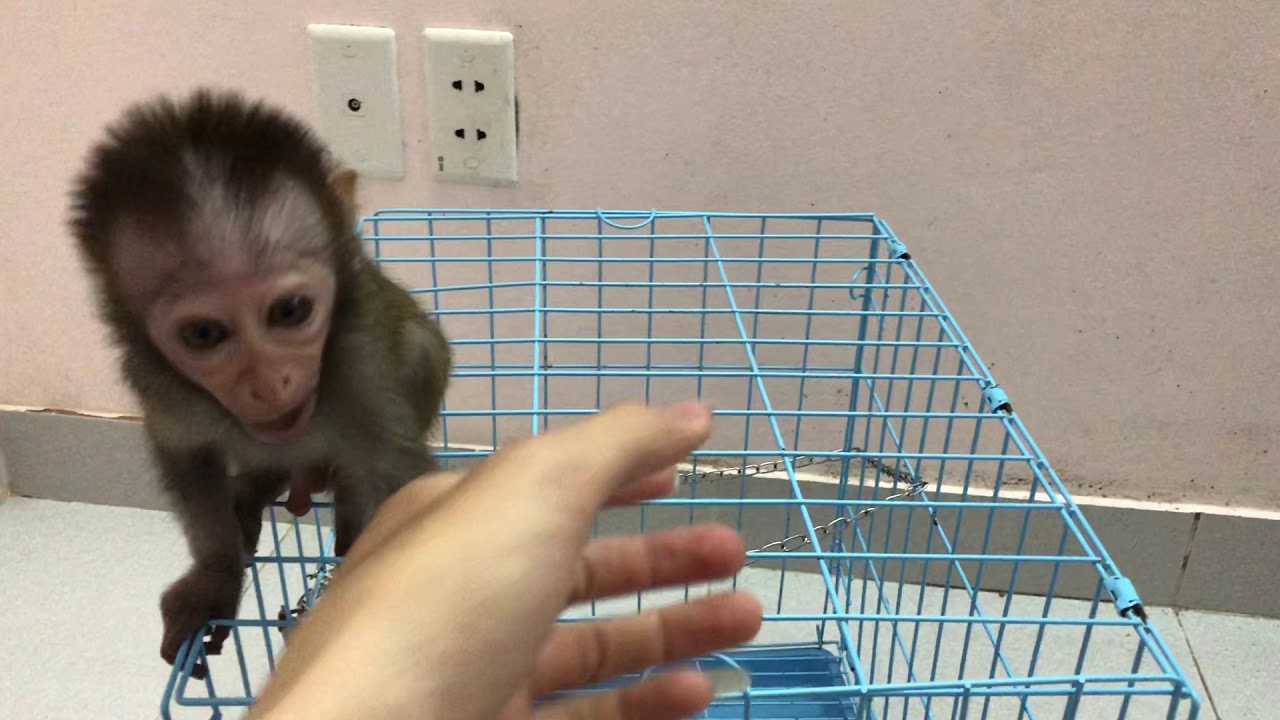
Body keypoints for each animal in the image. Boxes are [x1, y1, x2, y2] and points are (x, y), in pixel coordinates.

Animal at [67, 88, 452, 676]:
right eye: (204, 333)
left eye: (289, 311)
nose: (269, 383)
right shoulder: (159, 382)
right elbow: (184, 451)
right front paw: (216, 574)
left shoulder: (363, 370)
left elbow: (396, 482)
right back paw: (253, 490)